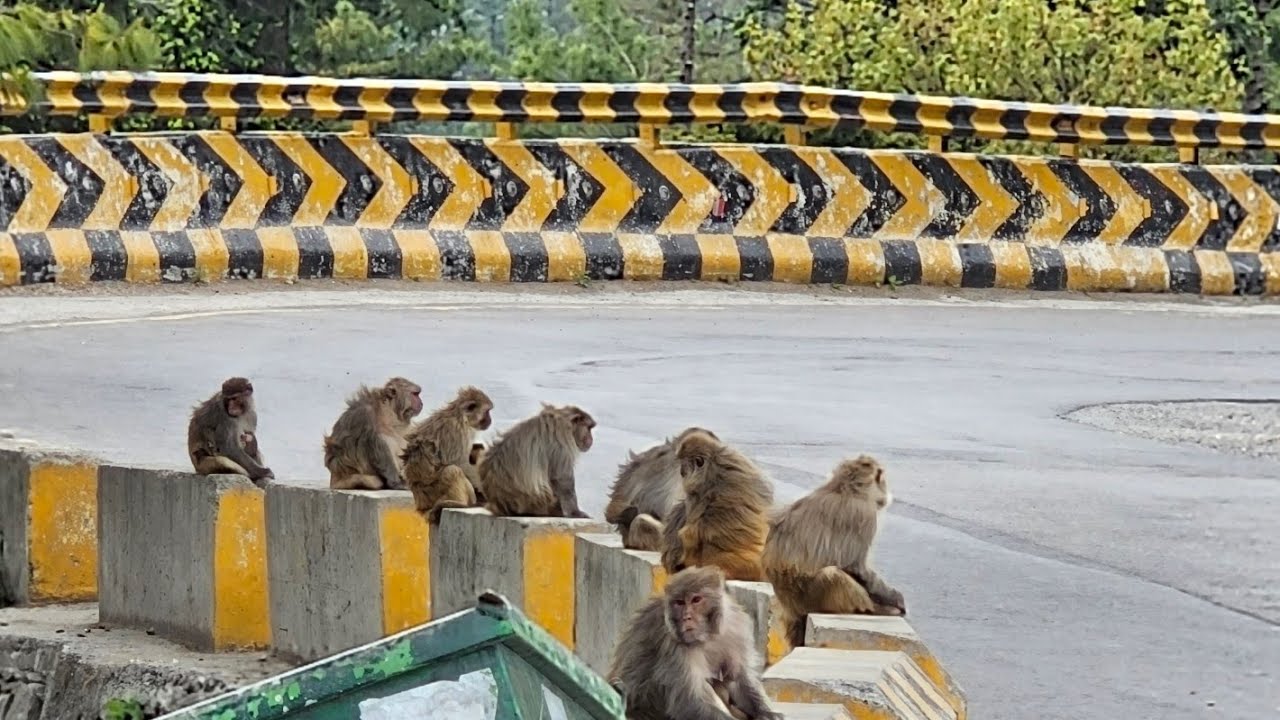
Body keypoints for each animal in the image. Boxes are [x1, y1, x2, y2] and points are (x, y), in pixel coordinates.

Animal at [400, 386, 494, 524]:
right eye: (487, 412)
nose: (490, 420)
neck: (461, 417)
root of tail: (421, 505)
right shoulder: (457, 432)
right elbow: (460, 462)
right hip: (432, 492)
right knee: (452, 470)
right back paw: (460, 504)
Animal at [607, 566, 783, 720]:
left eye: (696, 599)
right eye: (679, 602)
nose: (686, 617)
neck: (708, 636)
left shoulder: (736, 629)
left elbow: (738, 679)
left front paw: (768, 713)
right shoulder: (674, 645)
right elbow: (687, 701)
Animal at [761, 455, 906, 648]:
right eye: (882, 480)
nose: (886, 491)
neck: (844, 489)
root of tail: (790, 606)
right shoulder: (863, 515)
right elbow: (855, 566)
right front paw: (894, 599)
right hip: (810, 598)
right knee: (832, 575)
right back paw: (873, 610)